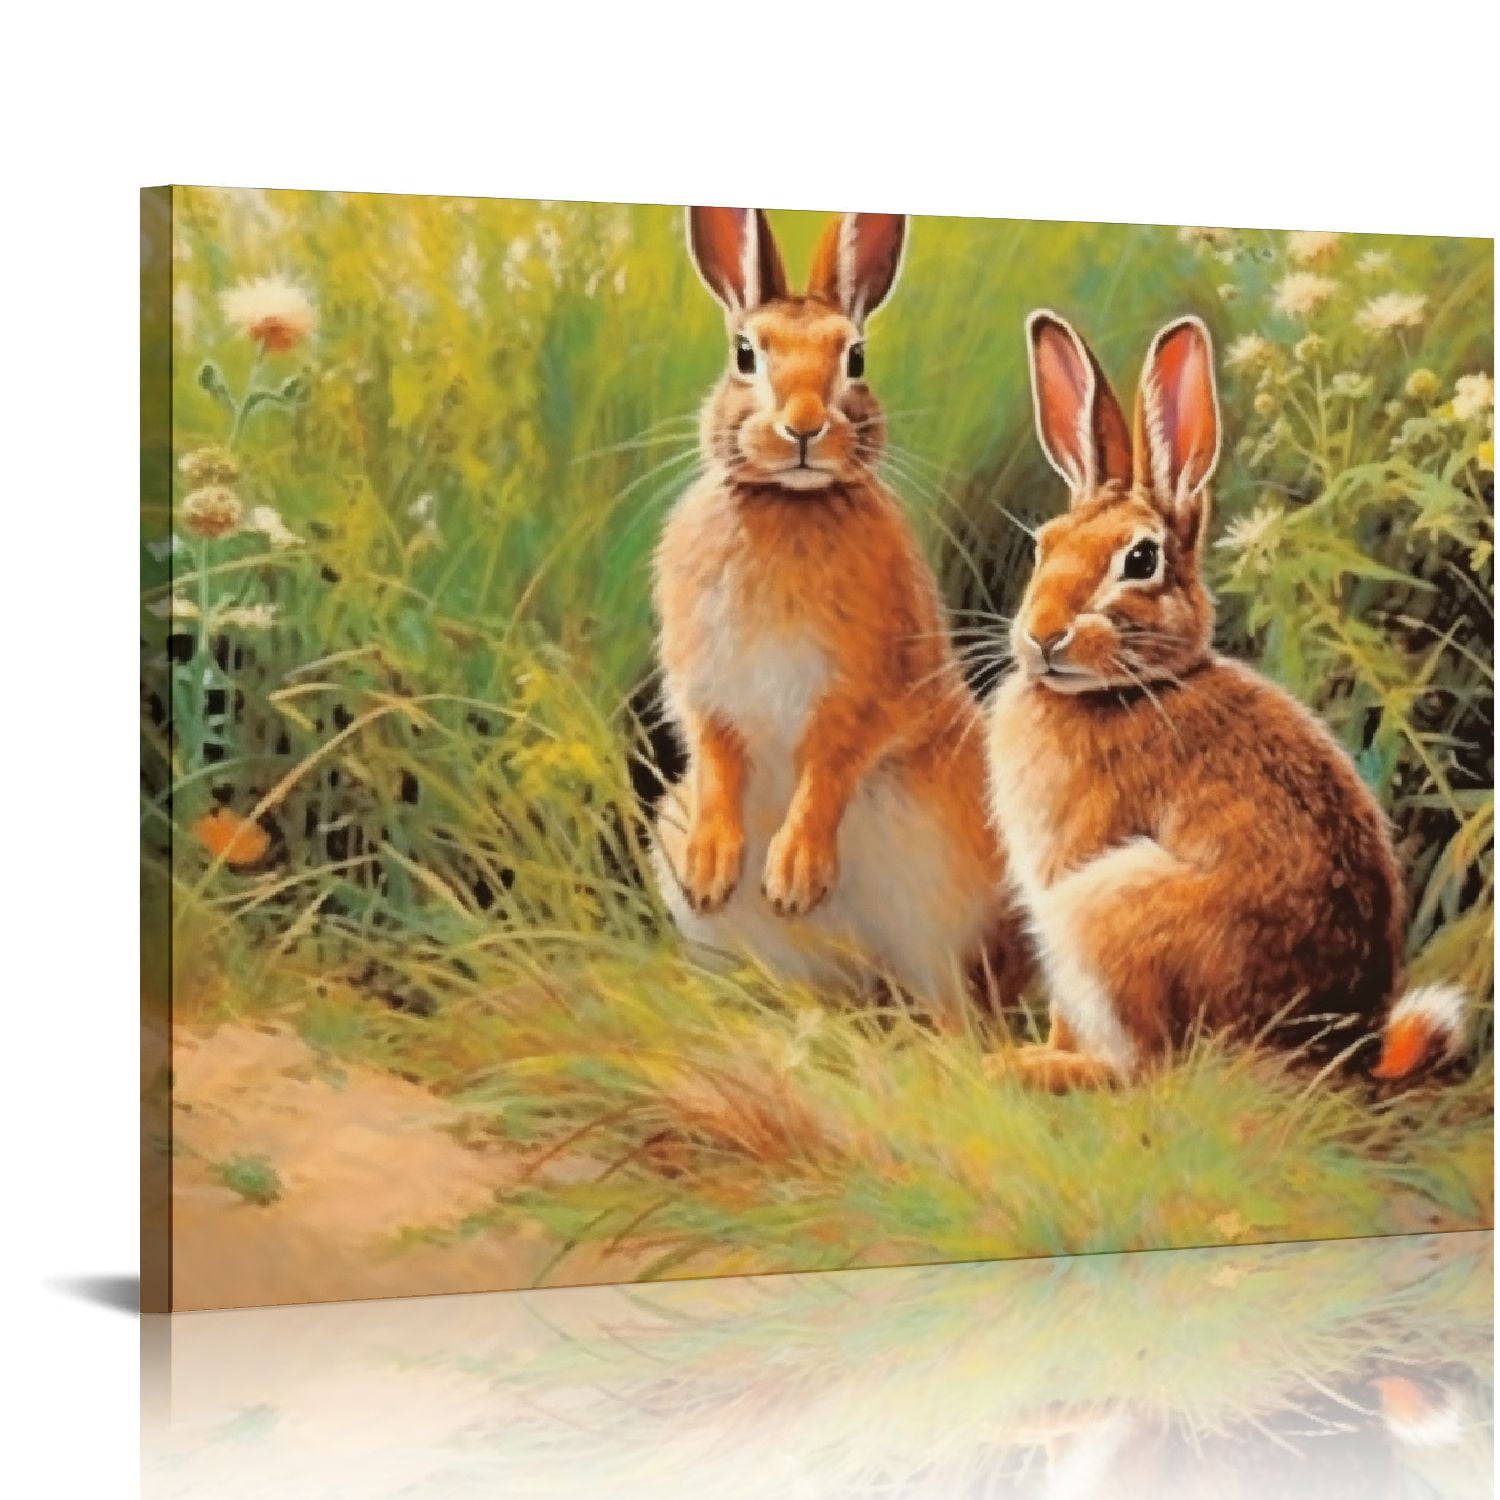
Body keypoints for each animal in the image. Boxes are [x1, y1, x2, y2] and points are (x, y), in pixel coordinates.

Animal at [650, 206, 1031, 1023]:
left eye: (854, 357)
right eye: (745, 354)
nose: (803, 426)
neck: (790, 505)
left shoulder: (868, 685)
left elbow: (830, 763)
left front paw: (794, 875)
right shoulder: (705, 687)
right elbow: (718, 756)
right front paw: (712, 864)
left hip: (939, 879)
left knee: (948, 999)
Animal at [984, 309, 1469, 1090]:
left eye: (1140, 559)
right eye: (1044, 545)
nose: (1043, 635)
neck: (1129, 688)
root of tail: (1339, 1052)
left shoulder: (1067, 866)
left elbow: (1070, 1008)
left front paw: (1048, 1051)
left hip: (1108, 909)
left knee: (1152, 1069)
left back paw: (1037, 1068)